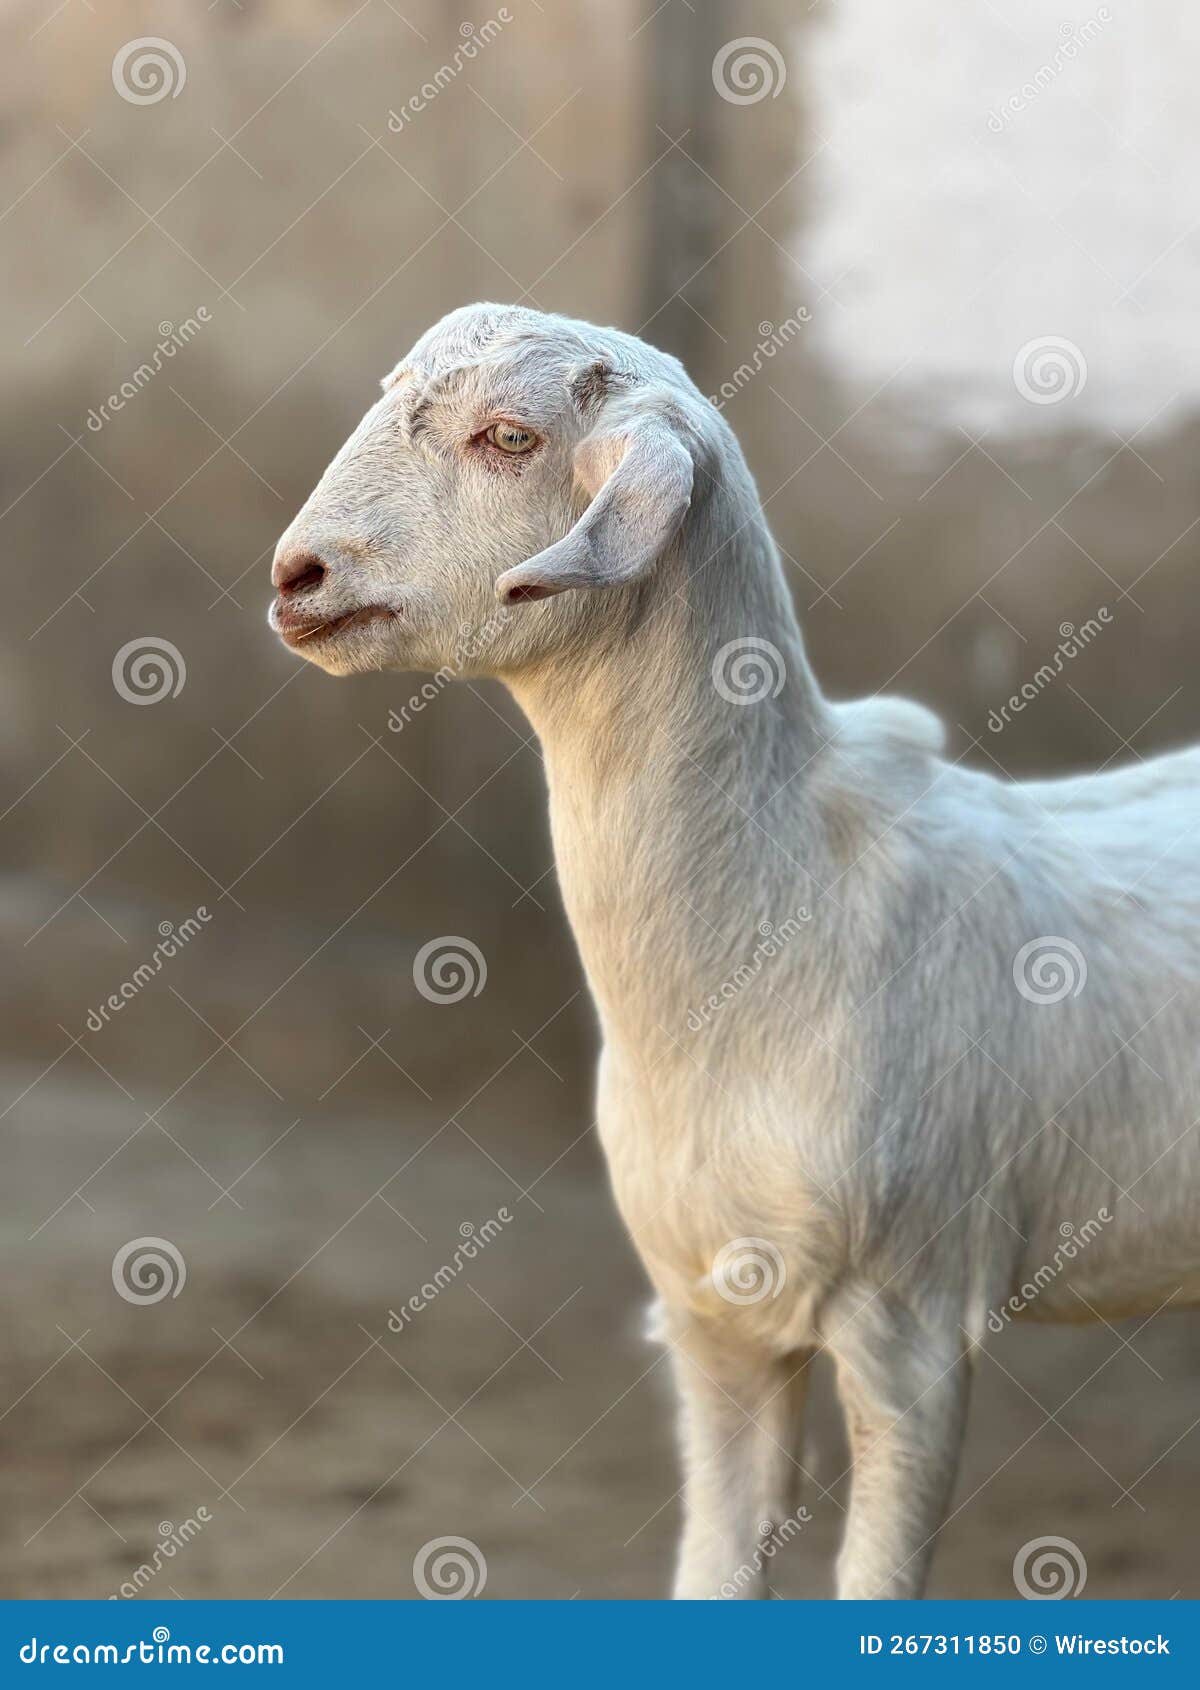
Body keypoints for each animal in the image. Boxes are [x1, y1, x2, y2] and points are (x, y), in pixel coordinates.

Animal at [269, 302, 1200, 1600]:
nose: (296, 576)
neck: (783, 914)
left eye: (511, 436)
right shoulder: (710, 1317)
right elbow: (713, 1568)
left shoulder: (913, 1324)